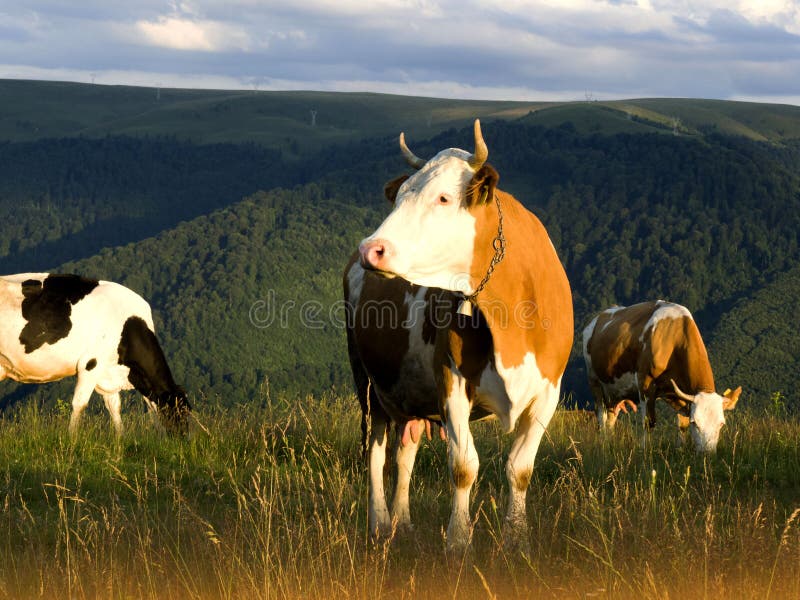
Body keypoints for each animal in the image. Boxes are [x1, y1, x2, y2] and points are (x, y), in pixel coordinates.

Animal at [0, 273, 190, 435]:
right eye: (180, 412)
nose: (183, 441)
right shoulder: (91, 364)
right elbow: (80, 404)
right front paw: (72, 439)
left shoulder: (107, 372)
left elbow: (114, 407)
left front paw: (121, 441)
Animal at [344, 120, 573, 551]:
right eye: (400, 196)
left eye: (444, 197)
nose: (371, 249)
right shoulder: (451, 380)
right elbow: (464, 466)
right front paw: (458, 540)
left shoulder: (549, 390)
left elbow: (520, 469)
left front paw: (517, 539)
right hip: (368, 383)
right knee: (376, 454)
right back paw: (379, 524)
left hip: (410, 392)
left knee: (405, 452)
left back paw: (403, 522)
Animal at [582, 301, 741, 453]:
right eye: (695, 423)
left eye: (721, 424)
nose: (707, 453)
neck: (674, 341)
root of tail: (598, 318)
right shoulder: (645, 384)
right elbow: (649, 422)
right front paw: (645, 451)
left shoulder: (679, 393)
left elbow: (682, 425)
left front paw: (680, 450)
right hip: (594, 381)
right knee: (601, 417)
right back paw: (603, 446)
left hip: (614, 392)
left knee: (610, 419)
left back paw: (609, 444)